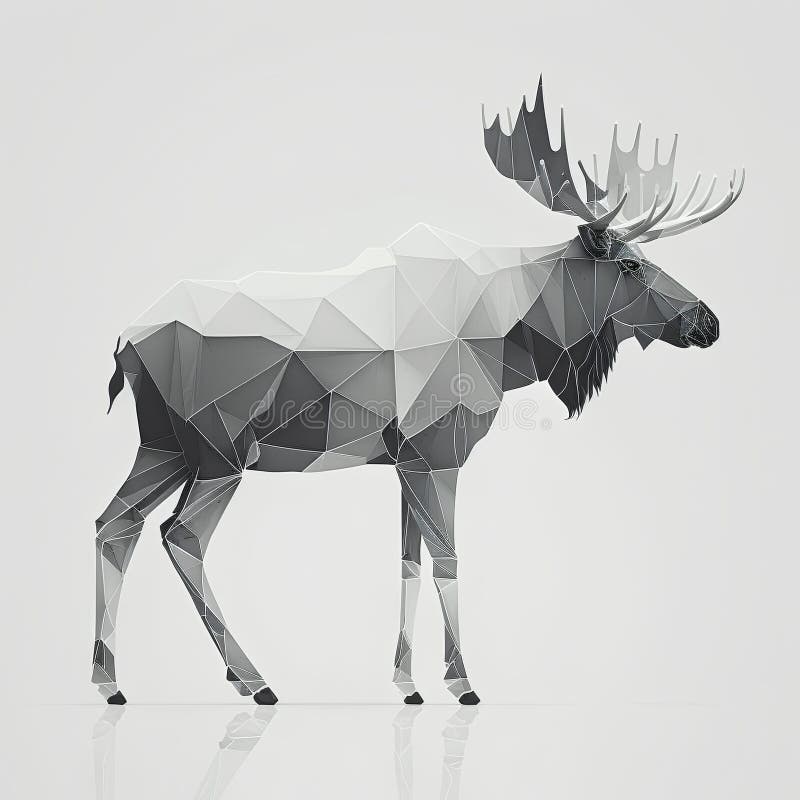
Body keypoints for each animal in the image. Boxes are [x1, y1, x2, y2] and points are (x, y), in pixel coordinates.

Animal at [93, 78, 743, 705]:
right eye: (630, 265)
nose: (708, 322)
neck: (512, 338)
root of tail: (125, 343)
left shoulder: (404, 460)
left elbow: (408, 560)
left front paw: (407, 684)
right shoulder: (437, 453)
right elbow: (448, 560)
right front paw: (463, 683)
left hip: (163, 446)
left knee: (112, 523)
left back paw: (112, 681)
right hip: (220, 452)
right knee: (179, 535)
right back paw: (255, 681)